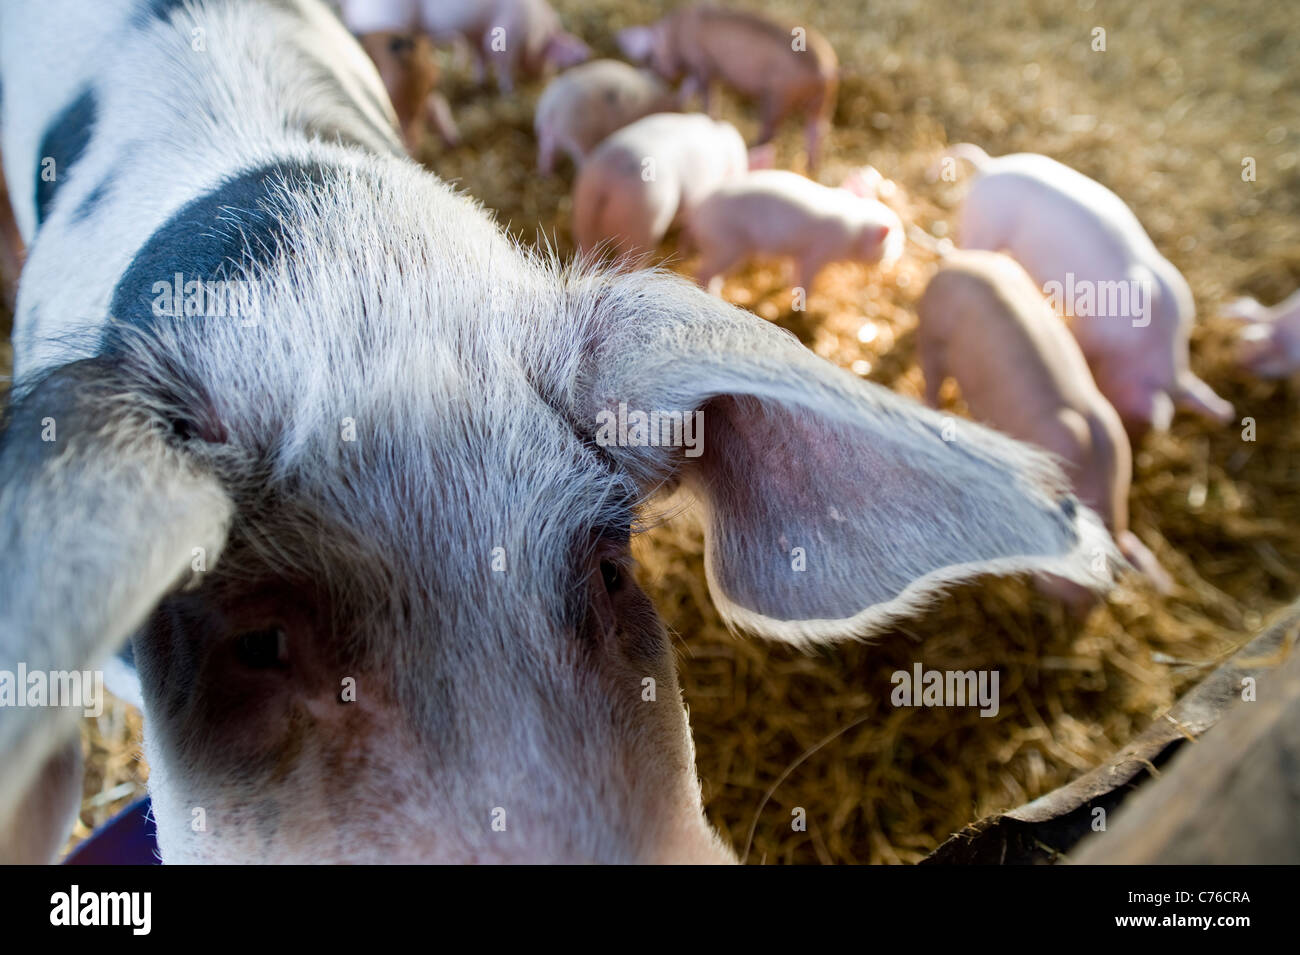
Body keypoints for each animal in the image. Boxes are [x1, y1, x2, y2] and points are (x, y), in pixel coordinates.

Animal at [419, 0, 590, 93]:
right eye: (548, 58)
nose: (548, 76)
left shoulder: (478, 39)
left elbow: (480, 60)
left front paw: (479, 83)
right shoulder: (508, 42)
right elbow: (506, 68)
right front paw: (509, 90)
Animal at [533, 60, 675, 176]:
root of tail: (551, 109)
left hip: (548, 135)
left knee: (546, 153)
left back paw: (545, 173)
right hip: (579, 138)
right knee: (581, 160)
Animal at [618, 5, 838, 171]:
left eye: (649, 57)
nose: (643, 70)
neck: (675, 34)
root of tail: (827, 68)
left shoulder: (702, 62)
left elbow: (707, 94)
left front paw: (709, 115)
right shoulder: (699, 66)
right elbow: (689, 86)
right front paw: (678, 103)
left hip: (779, 96)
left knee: (771, 132)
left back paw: (753, 148)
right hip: (822, 101)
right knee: (818, 130)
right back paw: (812, 167)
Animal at [688, 169, 904, 294]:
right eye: (896, 242)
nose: (899, 254)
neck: (855, 233)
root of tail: (699, 210)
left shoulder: (796, 254)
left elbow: (792, 271)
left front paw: (787, 285)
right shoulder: (816, 255)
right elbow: (806, 276)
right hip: (726, 246)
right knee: (702, 271)